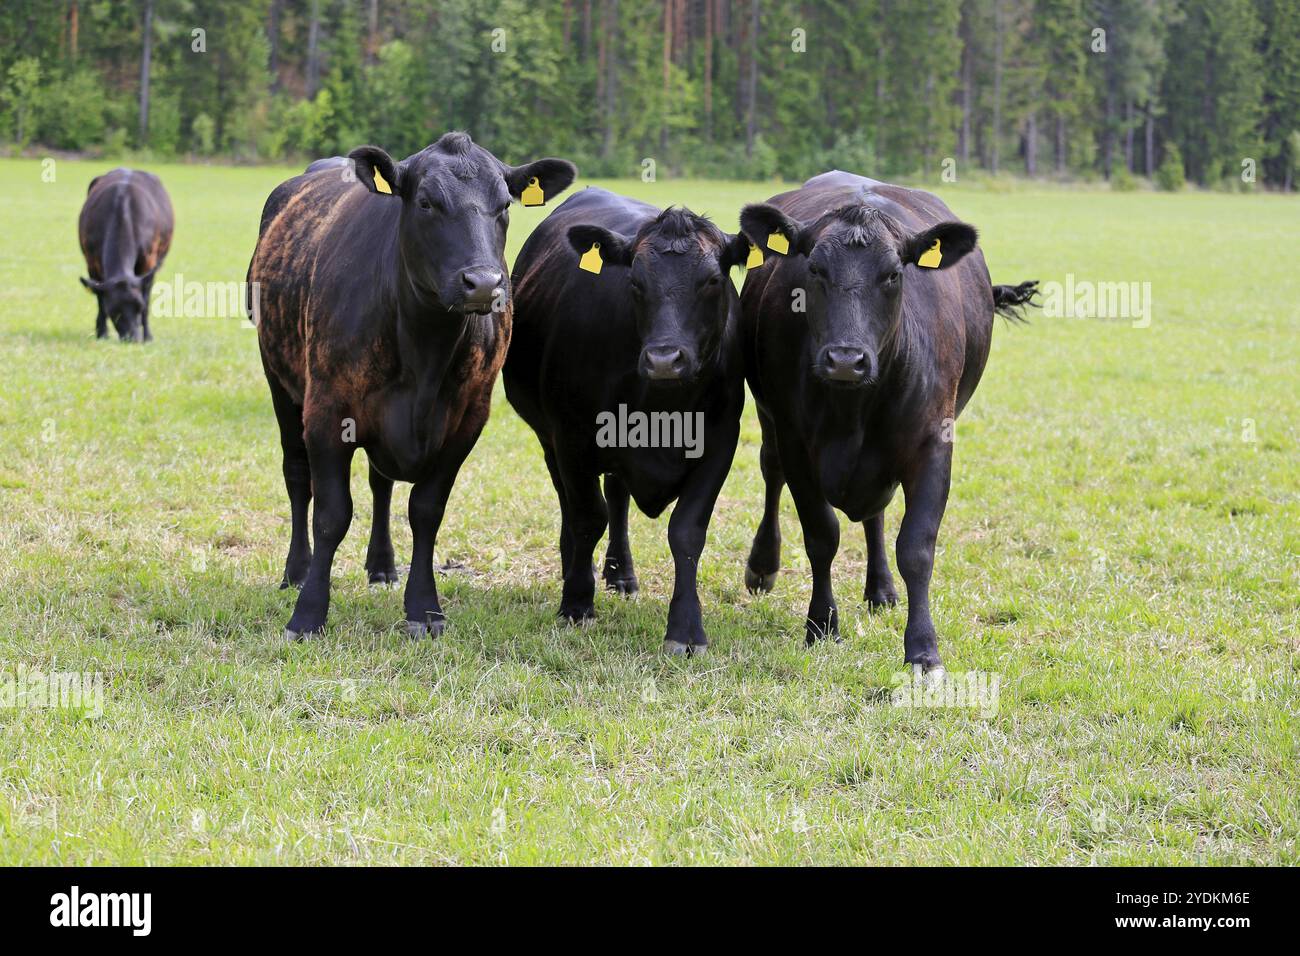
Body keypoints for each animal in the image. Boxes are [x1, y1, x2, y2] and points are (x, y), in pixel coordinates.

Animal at [78, 168, 173, 342]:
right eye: (114, 311)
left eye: (138, 306)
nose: (133, 339)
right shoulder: (92, 262)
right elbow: (100, 299)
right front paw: (102, 333)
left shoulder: (148, 263)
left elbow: (147, 299)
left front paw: (148, 337)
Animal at [248, 132, 576, 639]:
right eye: (426, 202)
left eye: (505, 204)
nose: (484, 284)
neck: (425, 346)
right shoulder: (326, 410)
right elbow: (331, 514)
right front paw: (308, 613)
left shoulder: (467, 419)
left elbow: (426, 510)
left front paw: (423, 607)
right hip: (280, 382)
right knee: (297, 477)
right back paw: (296, 570)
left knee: (380, 484)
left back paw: (381, 565)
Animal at [504, 187, 750, 654]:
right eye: (635, 282)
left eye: (712, 280)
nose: (665, 359)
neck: (663, 404)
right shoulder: (573, 437)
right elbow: (587, 518)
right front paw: (577, 602)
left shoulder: (720, 443)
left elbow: (687, 531)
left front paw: (686, 628)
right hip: (550, 438)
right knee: (575, 506)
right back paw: (573, 565)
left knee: (616, 496)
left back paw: (621, 574)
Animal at [737, 170, 1038, 673]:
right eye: (814, 270)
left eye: (894, 274)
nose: (845, 359)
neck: (852, 409)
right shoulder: (796, 442)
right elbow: (821, 534)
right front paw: (822, 625)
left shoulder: (932, 443)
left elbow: (915, 547)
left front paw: (923, 648)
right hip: (769, 421)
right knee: (771, 472)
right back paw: (763, 565)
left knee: (875, 515)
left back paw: (880, 588)